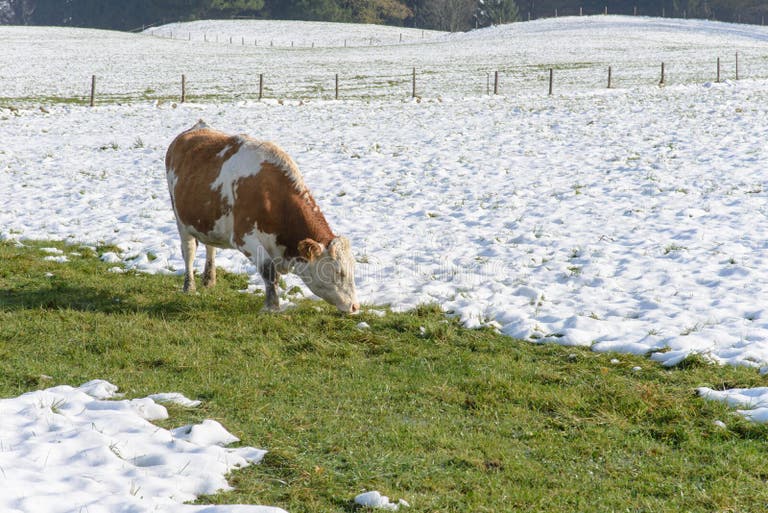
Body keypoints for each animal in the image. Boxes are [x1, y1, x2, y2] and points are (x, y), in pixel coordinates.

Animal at [165, 120, 359, 314]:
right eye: (339, 272)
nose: (355, 306)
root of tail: (197, 127)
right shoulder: (244, 238)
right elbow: (269, 270)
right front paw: (272, 306)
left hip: (207, 220)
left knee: (210, 247)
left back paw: (209, 280)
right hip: (180, 218)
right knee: (189, 251)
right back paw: (189, 287)